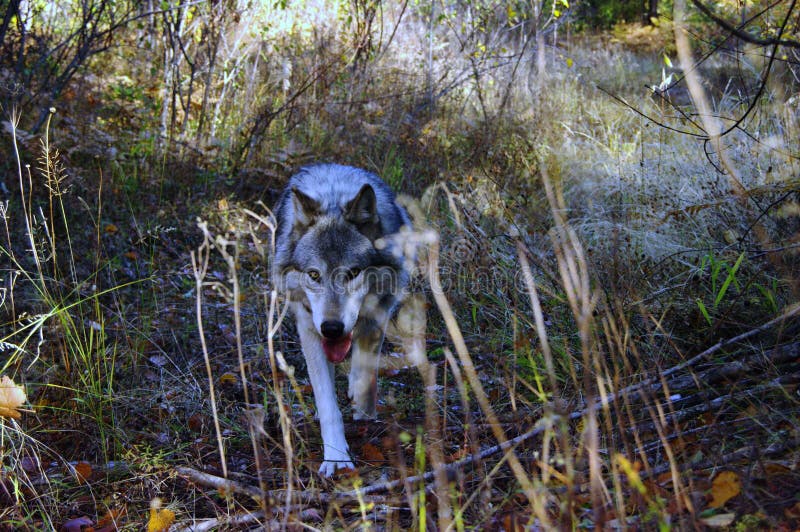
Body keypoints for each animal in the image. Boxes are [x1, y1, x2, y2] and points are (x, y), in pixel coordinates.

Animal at [274, 163, 413, 476]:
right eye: (314, 275)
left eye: (353, 273)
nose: (332, 328)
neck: (334, 198)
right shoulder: (309, 328)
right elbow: (327, 404)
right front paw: (336, 457)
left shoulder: (378, 316)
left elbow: (364, 375)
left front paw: (364, 415)